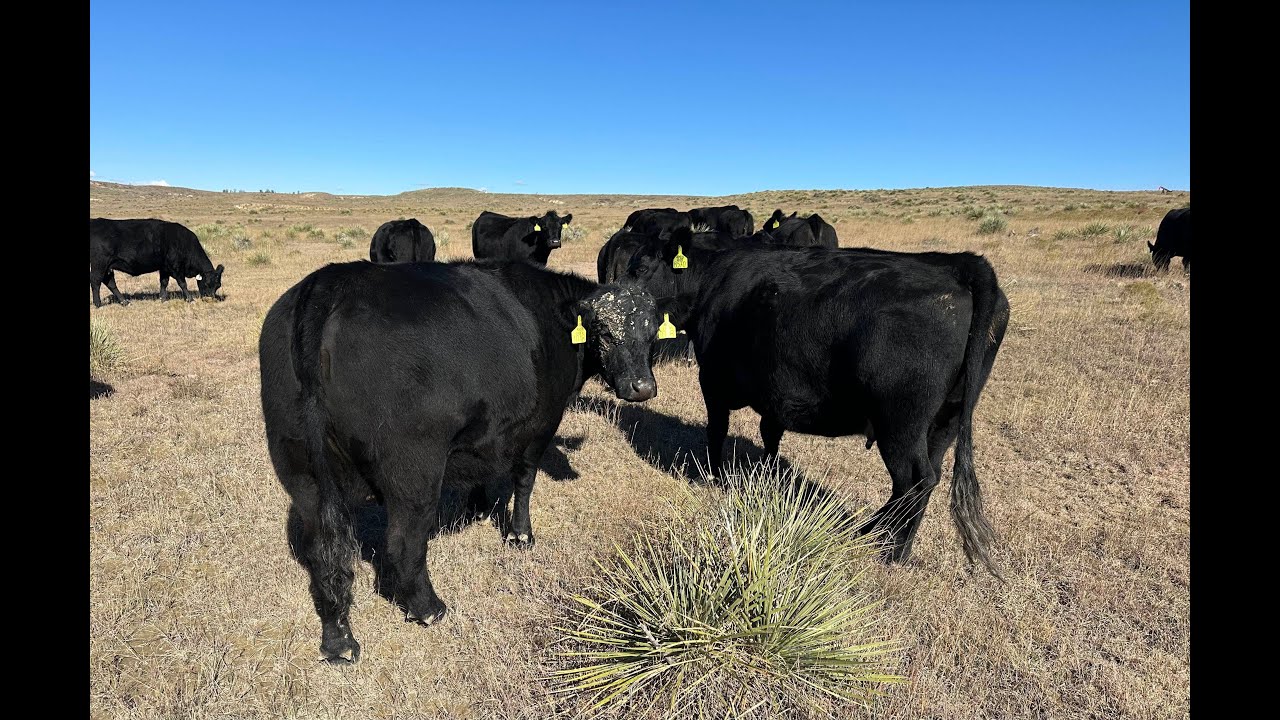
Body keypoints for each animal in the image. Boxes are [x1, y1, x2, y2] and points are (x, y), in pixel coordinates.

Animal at [89, 218, 224, 308]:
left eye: (218, 285)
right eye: (207, 284)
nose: (210, 298)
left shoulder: (164, 268)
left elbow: (164, 282)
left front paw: (163, 298)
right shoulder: (176, 267)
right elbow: (183, 283)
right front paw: (190, 299)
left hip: (108, 267)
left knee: (110, 282)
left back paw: (125, 302)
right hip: (99, 264)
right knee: (96, 281)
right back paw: (98, 303)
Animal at [260, 259, 662, 663]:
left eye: (652, 332)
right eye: (604, 331)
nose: (642, 388)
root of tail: (329, 281)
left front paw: (479, 507)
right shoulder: (541, 423)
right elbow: (524, 479)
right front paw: (520, 534)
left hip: (301, 468)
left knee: (323, 549)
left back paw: (339, 640)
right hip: (414, 470)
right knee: (403, 543)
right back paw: (429, 609)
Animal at [624, 237, 1010, 575]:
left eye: (640, 268)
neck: (712, 278)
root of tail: (961, 265)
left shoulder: (713, 380)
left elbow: (716, 431)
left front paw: (714, 478)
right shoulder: (774, 391)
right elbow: (770, 434)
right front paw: (767, 478)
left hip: (900, 424)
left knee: (915, 482)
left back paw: (891, 552)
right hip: (946, 420)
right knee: (928, 479)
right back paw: (873, 535)